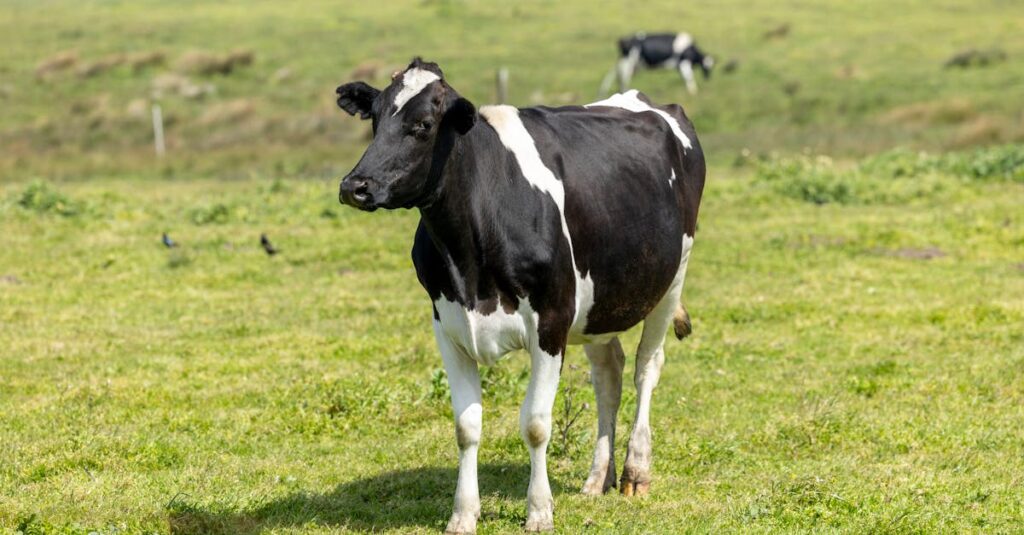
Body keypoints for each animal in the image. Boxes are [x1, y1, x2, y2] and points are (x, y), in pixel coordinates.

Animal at [336, 57, 705, 533]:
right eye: (375, 119)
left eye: (422, 125)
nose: (354, 186)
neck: (470, 261)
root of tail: (645, 101)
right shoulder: (448, 327)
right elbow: (466, 426)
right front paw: (463, 514)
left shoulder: (551, 321)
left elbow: (535, 424)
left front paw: (539, 511)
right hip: (598, 305)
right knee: (609, 374)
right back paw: (596, 478)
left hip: (672, 277)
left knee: (646, 368)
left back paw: (635, 472)